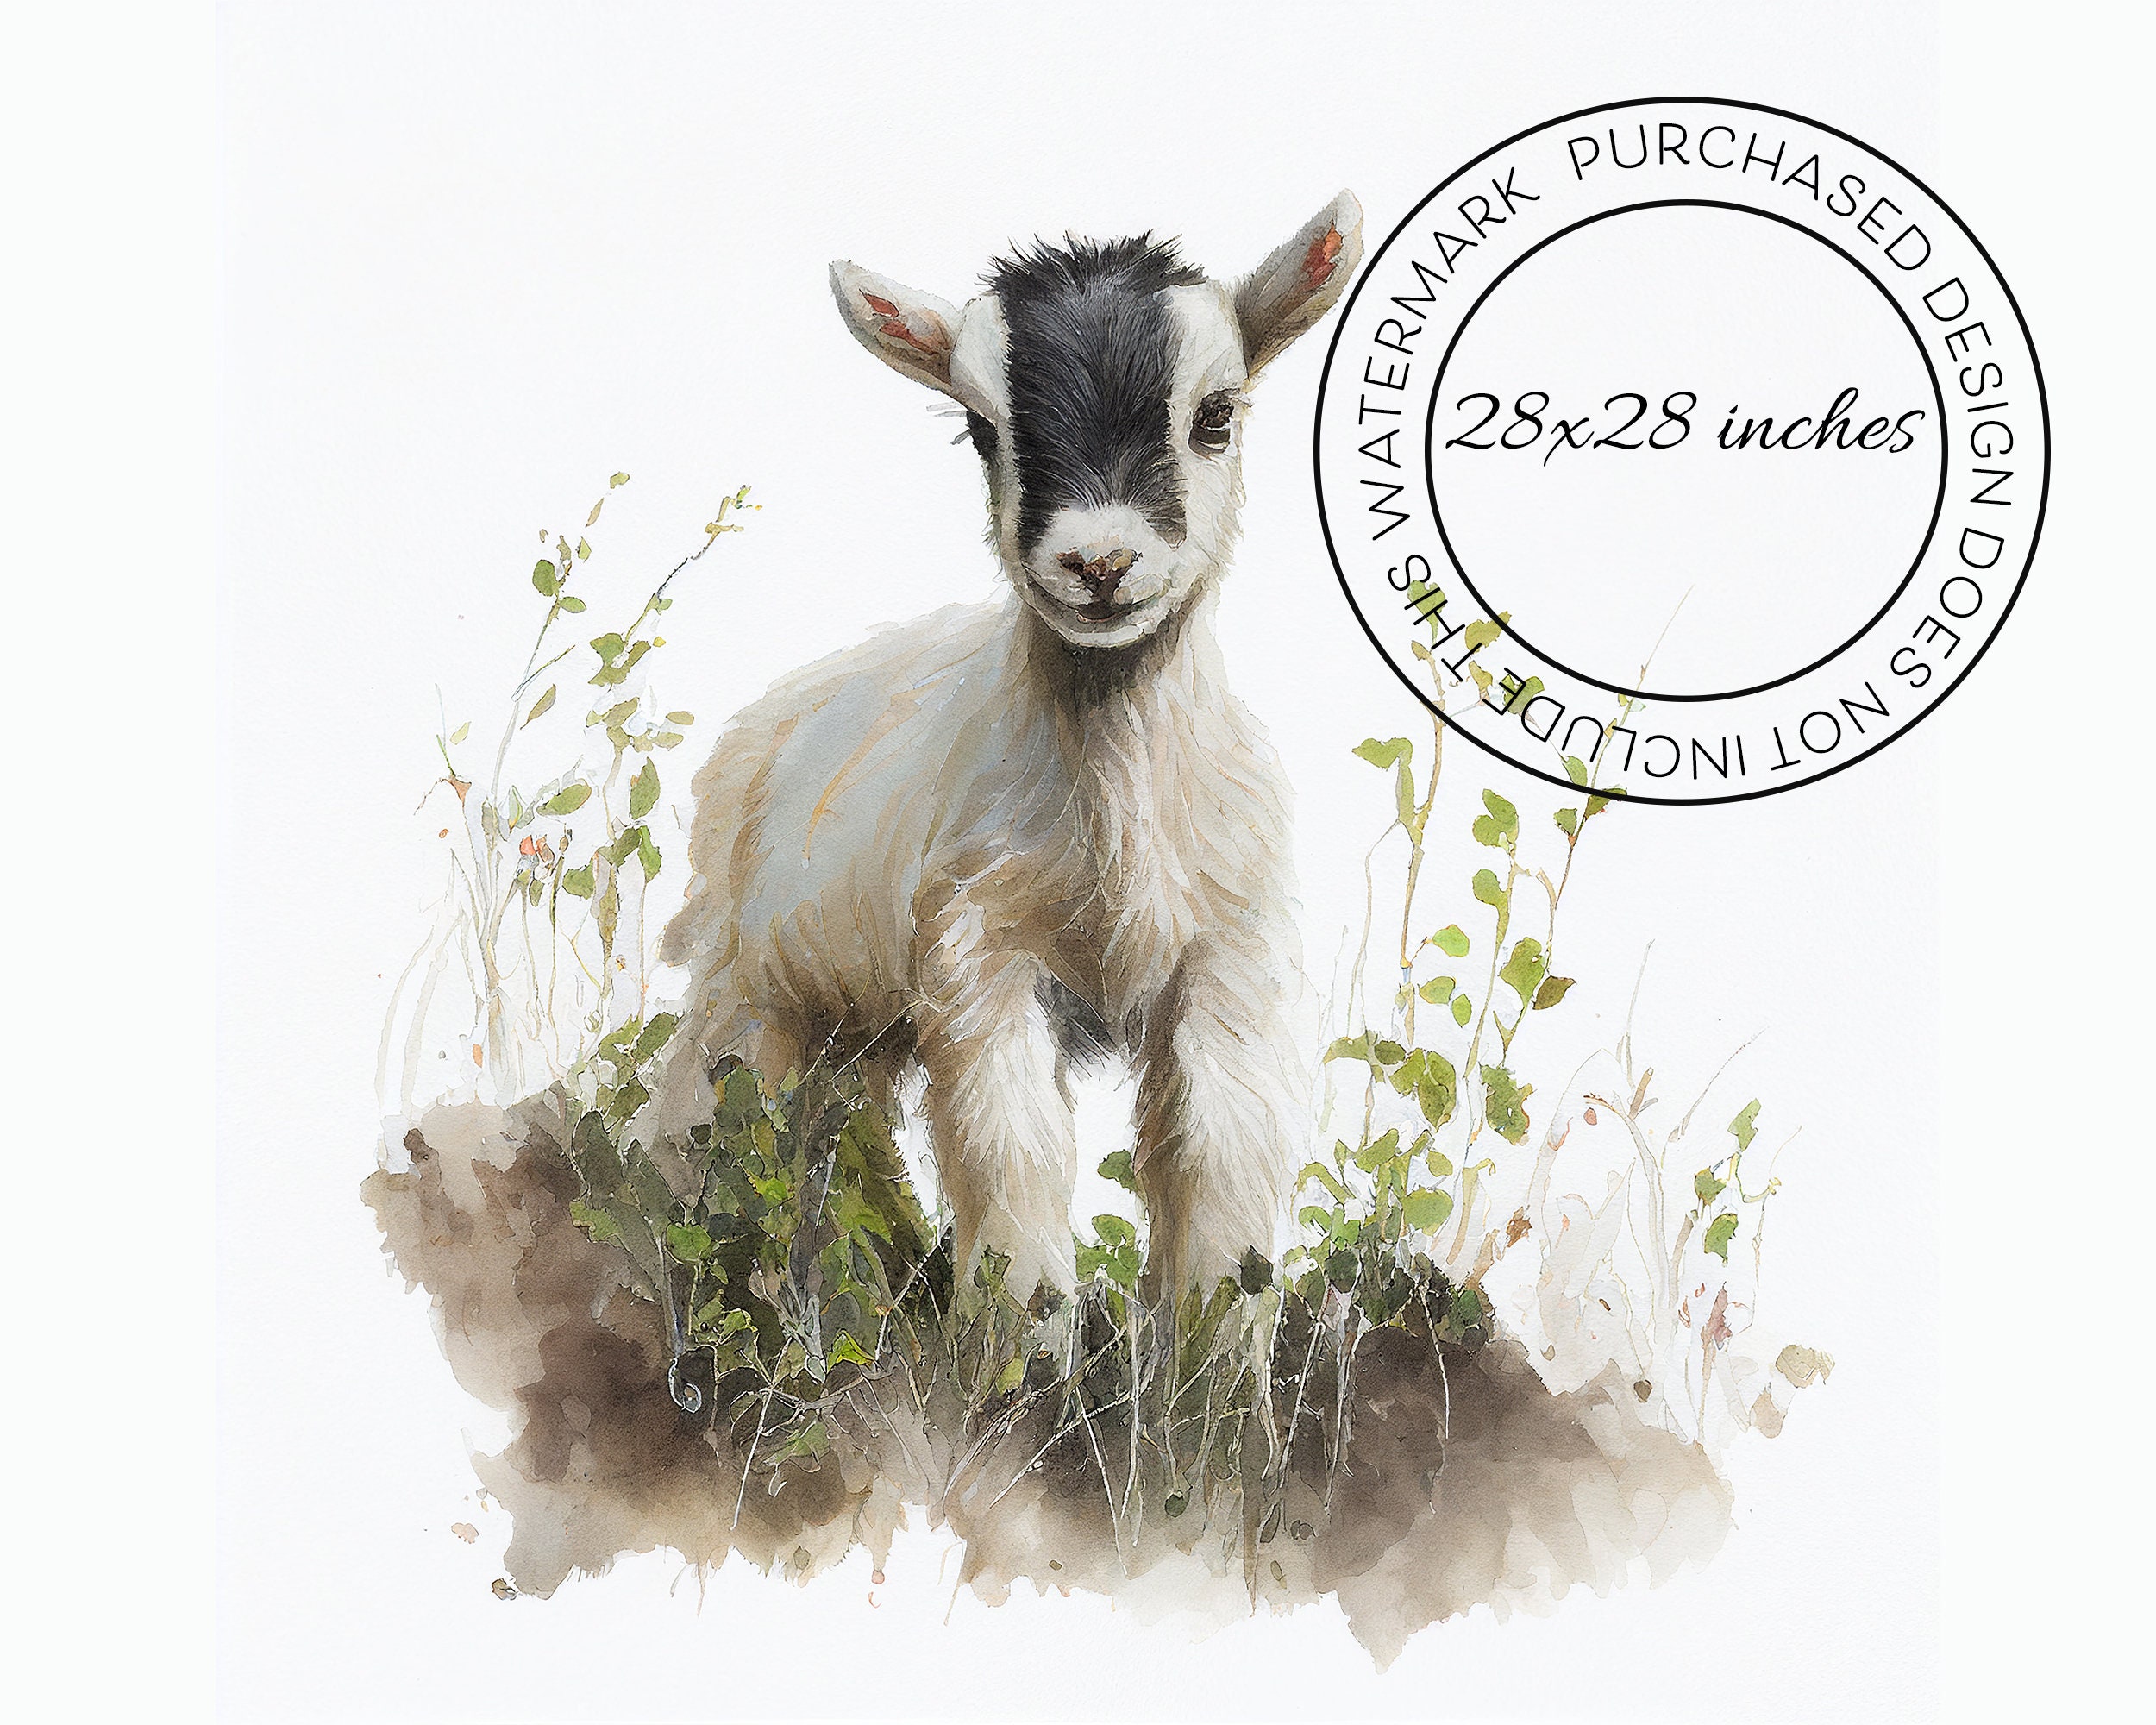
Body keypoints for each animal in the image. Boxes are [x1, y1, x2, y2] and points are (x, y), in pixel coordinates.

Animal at [654, 195, 1365, 1299]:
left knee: (833, 1137)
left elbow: (1217, 1173)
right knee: (710, 1118)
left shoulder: (1227, 960)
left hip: (858, 1019)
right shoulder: (977, 960)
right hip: (752, 981)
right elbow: (1014, 1172)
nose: (1099, 562)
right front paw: (1015, 1336)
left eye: (1216, 413)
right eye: (982, 430)